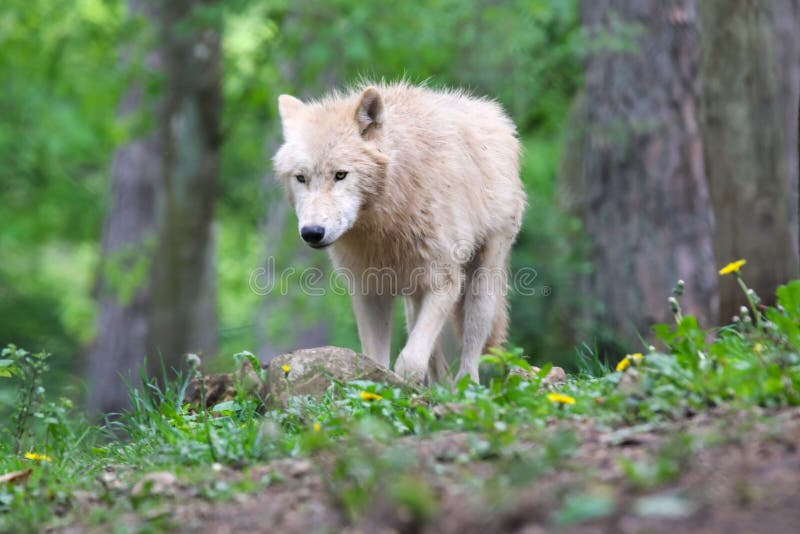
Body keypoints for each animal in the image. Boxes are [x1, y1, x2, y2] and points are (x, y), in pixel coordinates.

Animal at [272, 82, 526, 383]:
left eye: (341, 175)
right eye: (301, 178)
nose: (312, 232)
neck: (385, 223)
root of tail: (496, 115)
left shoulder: (444, 282)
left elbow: (410, 361)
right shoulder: (369, 291)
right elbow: (373, 359)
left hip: (481, 284)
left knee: (470, 350)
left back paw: (466, 386)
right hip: (412, 295)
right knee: (436, 359)